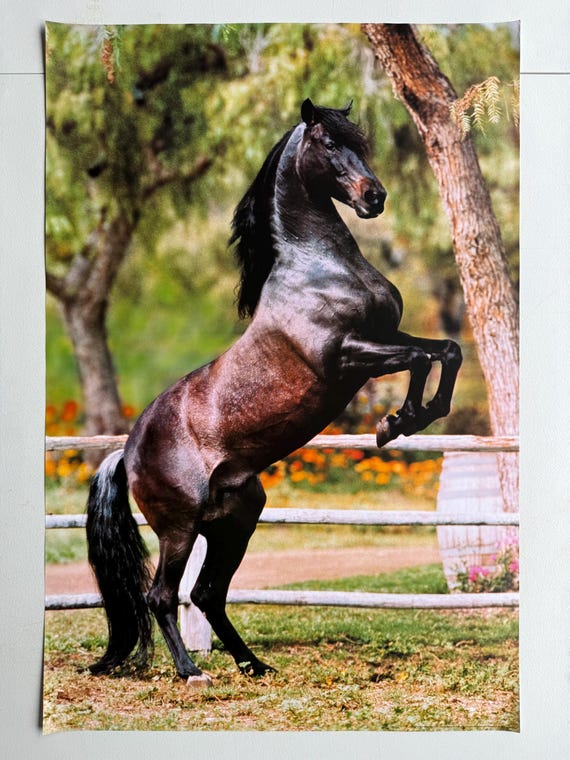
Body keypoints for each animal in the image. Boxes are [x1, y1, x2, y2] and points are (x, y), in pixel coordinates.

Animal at [86, 99, 462, 685]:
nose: (373, 196)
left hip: (236, 521)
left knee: (207, 593)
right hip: (179, 528)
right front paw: (394, 423)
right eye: (327, 142)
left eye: (360, 142)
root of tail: (125, 454)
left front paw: (414, 417)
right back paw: (192, 671)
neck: (316, 267)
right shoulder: (347, 355)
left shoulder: (386, 336)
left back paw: (253, 664)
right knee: (163, 595)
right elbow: (423, 358)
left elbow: (446, 350)